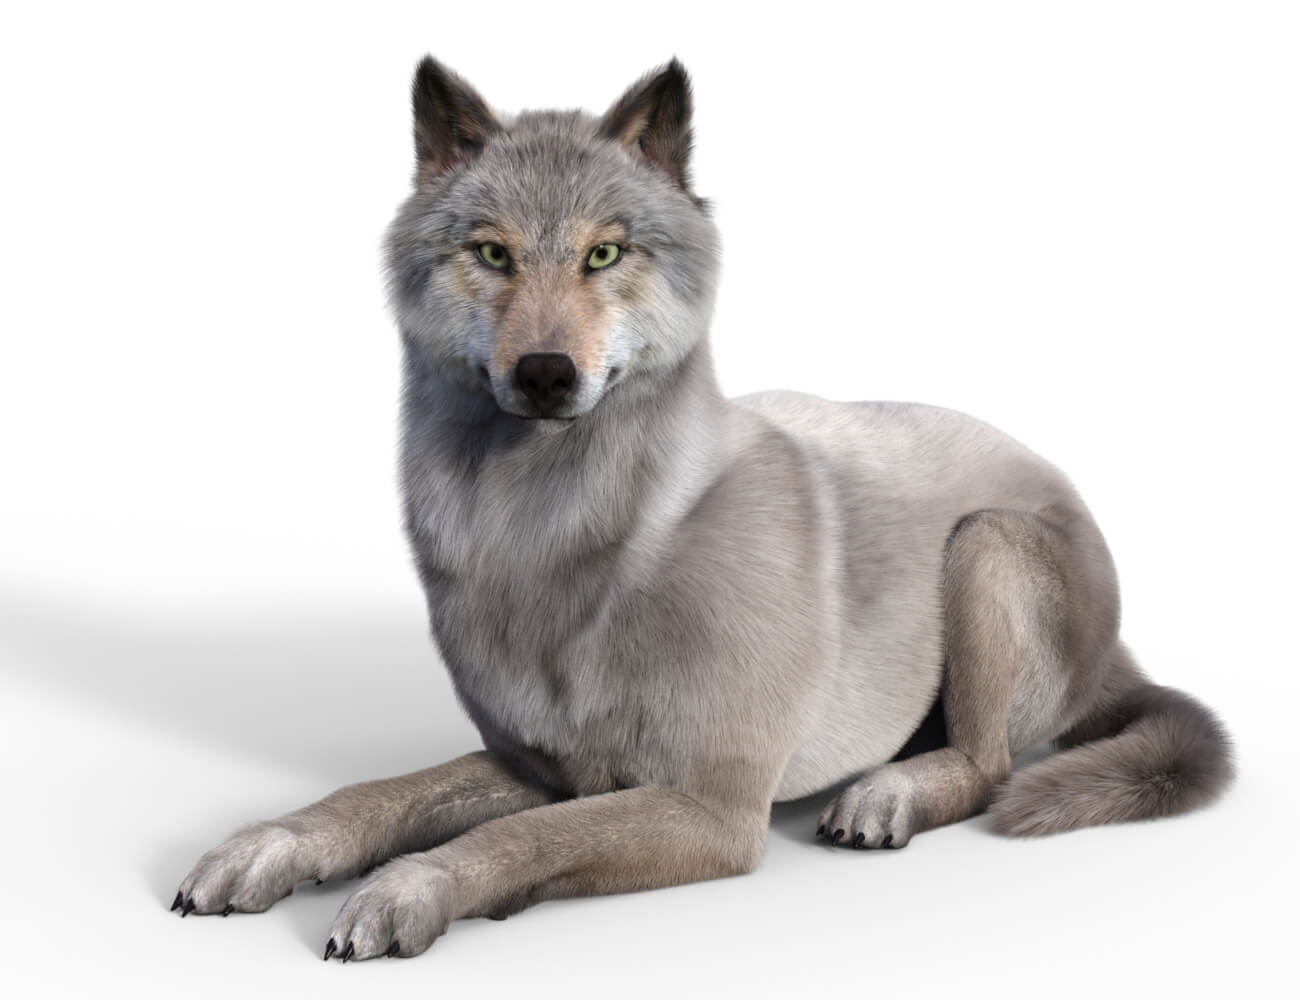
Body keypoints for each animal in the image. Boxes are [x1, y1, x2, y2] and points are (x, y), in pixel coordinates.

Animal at [173, 58, 1234, 961]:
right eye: (493, 254)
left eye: (604, 253)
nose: (546, 374)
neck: (572, 546)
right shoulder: (538, 766)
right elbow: (387, 793)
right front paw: (272, 843)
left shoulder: (710, 810)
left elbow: (521, 842)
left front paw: (407, 890)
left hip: (983, 547)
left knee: (988, 765)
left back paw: (887, 793)